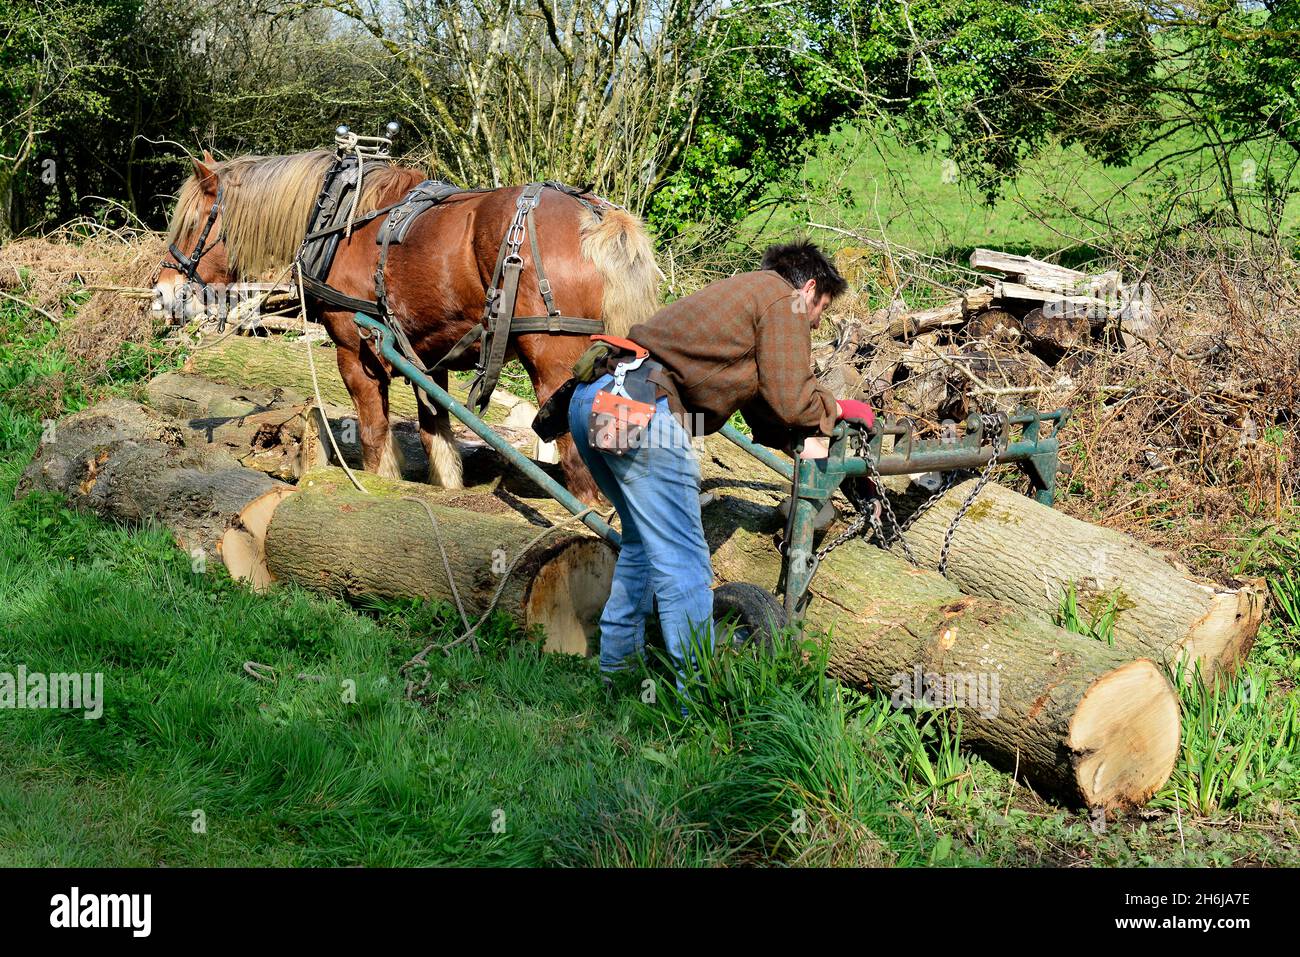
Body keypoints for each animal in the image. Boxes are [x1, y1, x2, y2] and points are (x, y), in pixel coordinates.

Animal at [154, 150, 661, 503]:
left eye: (192, 222)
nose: (163, 293)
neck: (338, 222)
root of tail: (597, 218)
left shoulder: (356, 352)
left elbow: (374, 435)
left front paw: (381, 491)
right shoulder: (427, 356)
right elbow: (437, 436)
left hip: (556, 367)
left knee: (582, 473)